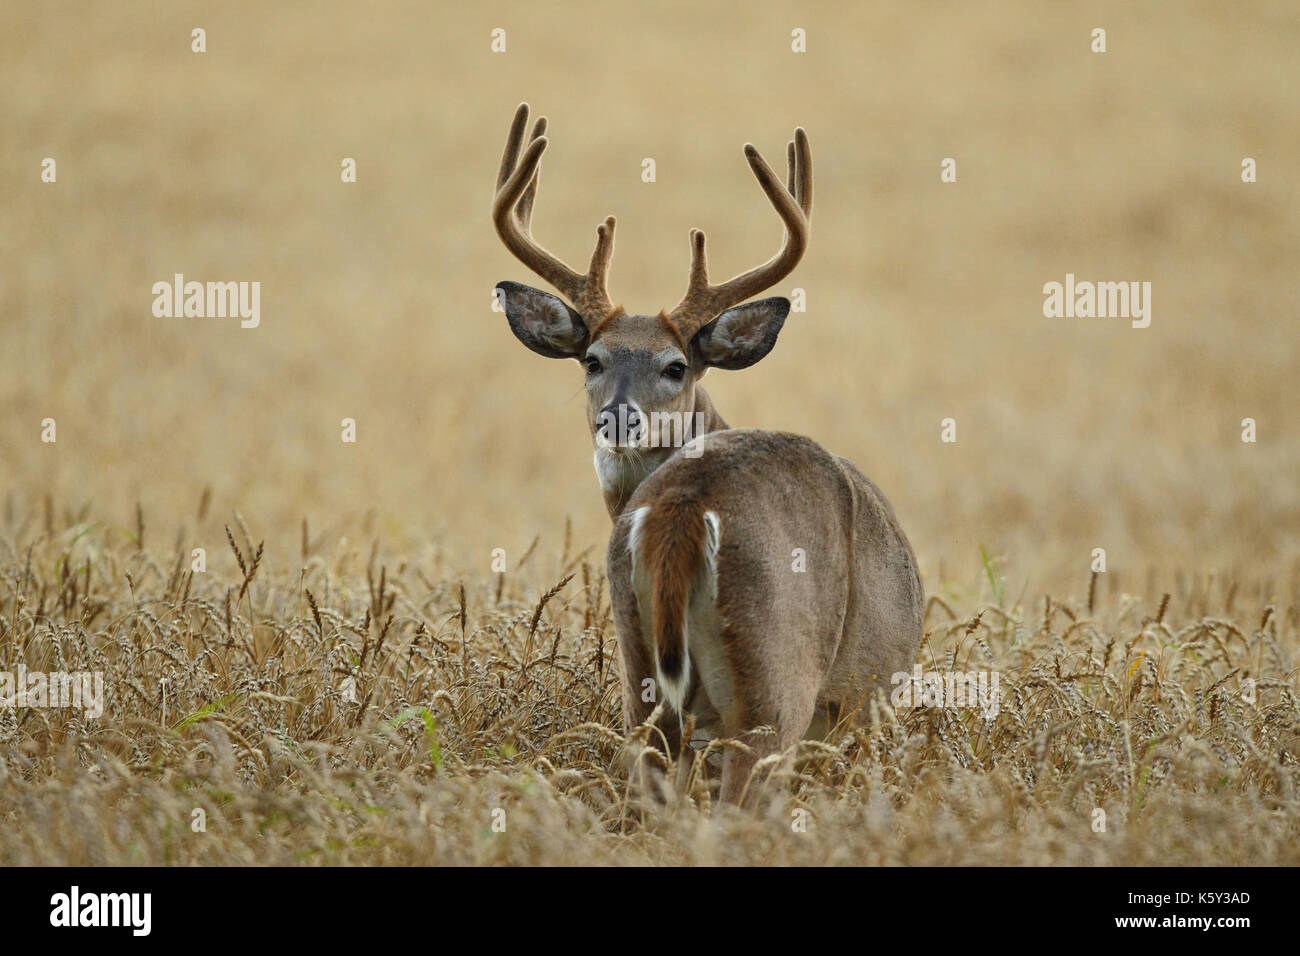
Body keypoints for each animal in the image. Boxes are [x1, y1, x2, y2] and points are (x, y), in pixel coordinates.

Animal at [491, 103, 924, 805]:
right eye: (592, 359)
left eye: (675, 366)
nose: (619, 416)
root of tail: (685, 510)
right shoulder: (864, 702)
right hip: (773, 681)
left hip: (641, 674)